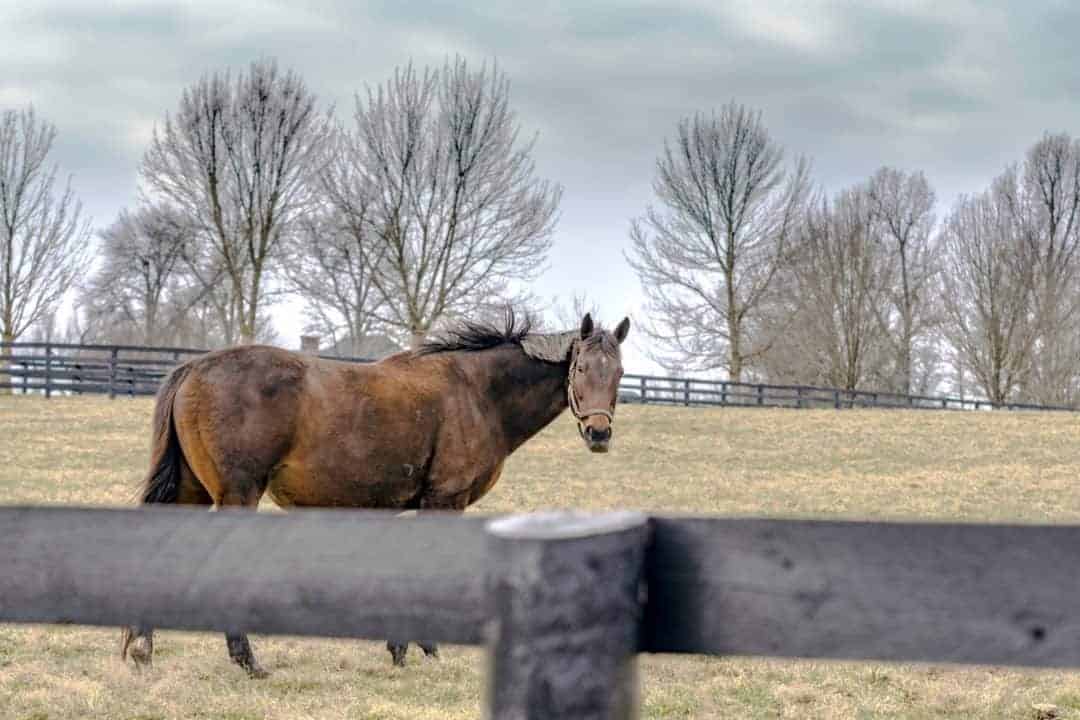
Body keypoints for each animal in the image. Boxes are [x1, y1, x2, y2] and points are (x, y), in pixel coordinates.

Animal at [120, 310, 630, 677]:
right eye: (581, 368)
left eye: (620, 373)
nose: (599, 434)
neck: (477, 391)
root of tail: (194, 366)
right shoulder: (443, 503)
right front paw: (423, 648)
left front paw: (400, 649)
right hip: (236, 497)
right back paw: (246, 660)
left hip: (191, 493)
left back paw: (142, 648)